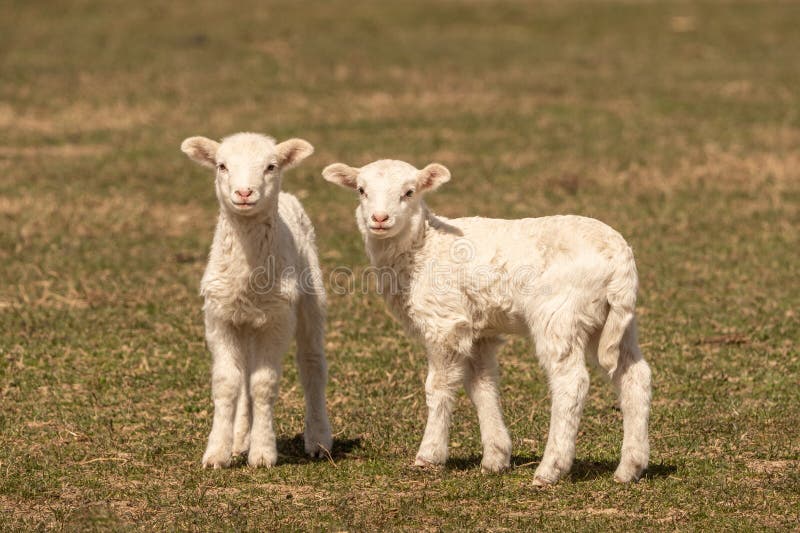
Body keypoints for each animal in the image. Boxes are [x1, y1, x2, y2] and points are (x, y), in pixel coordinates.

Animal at [181, 132, 332, 468]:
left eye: (271, 166)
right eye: (221, 165)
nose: (244, 192)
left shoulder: (277, 318)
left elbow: (263, 384)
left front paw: (262, 453)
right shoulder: (220, 318)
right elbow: (228, 382)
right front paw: (217, 453)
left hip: (310, 297)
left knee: (312, 365)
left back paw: (318, 440)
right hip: (247, 324)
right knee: (244, 376)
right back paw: (239, 440)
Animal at [322, 159, 651, 485]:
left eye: (409, 192)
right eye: (361, 190)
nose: (379, 218)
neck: (422, 247)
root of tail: (620, 260)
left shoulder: (445, 322)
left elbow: (438, 387)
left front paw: (429, 456)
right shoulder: (478, 330)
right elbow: (482, 386)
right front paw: (495, 457)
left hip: (560, 313)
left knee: (571, 382)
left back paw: (550, 470)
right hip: (609, 322)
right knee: (635, 375)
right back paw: (629, 468)